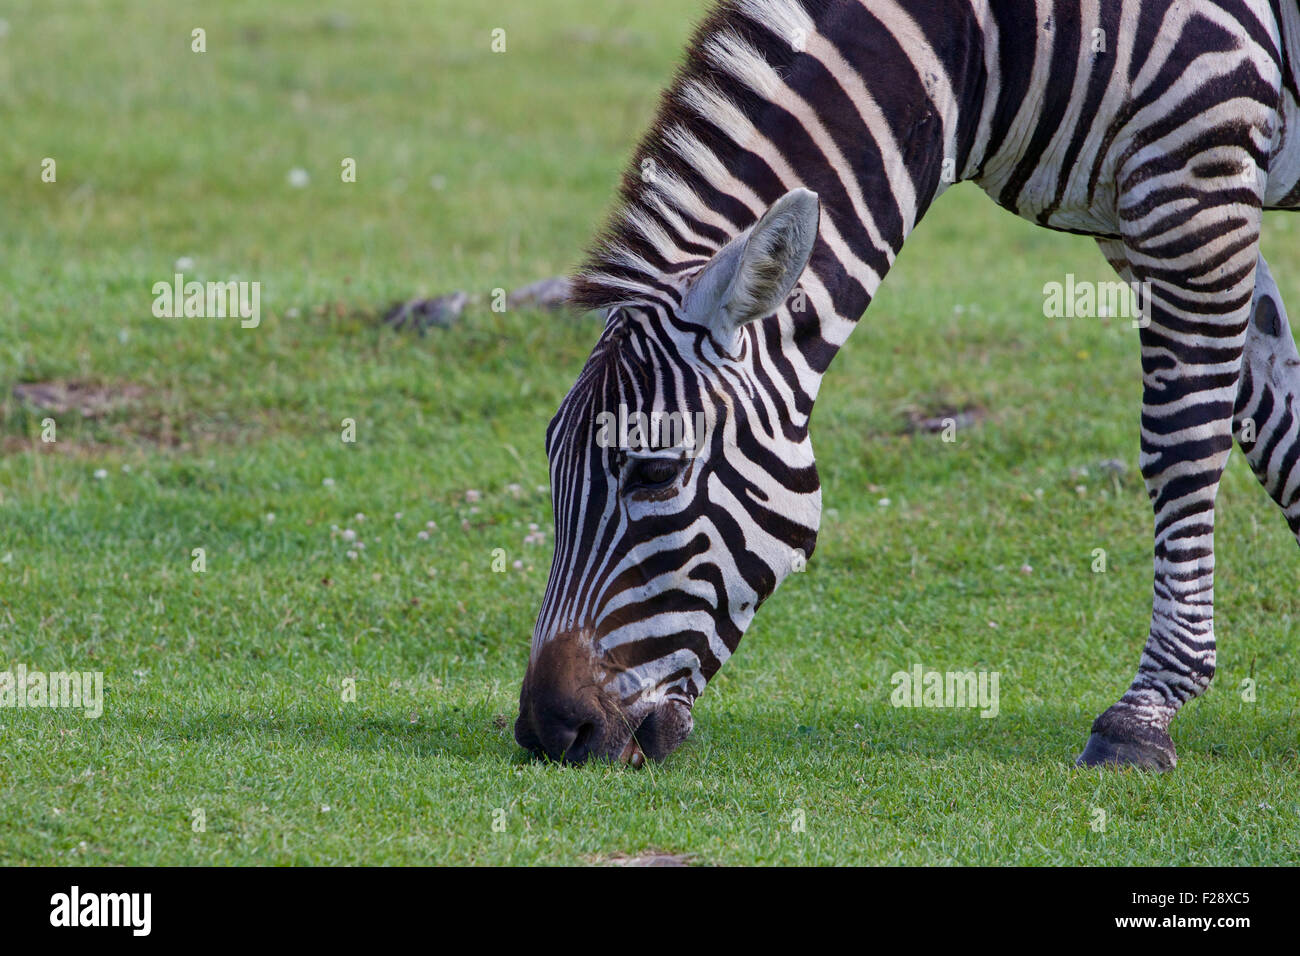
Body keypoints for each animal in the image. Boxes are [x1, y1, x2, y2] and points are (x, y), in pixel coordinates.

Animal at [513, 0, 1300, 769]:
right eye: (550, 460)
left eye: (654, 471)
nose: (548, 732)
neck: (990, 48)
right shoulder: (1138, 211)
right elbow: (1274, 425)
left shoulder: (1196, 178)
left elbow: (1183, 447)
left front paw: (1143, 715)